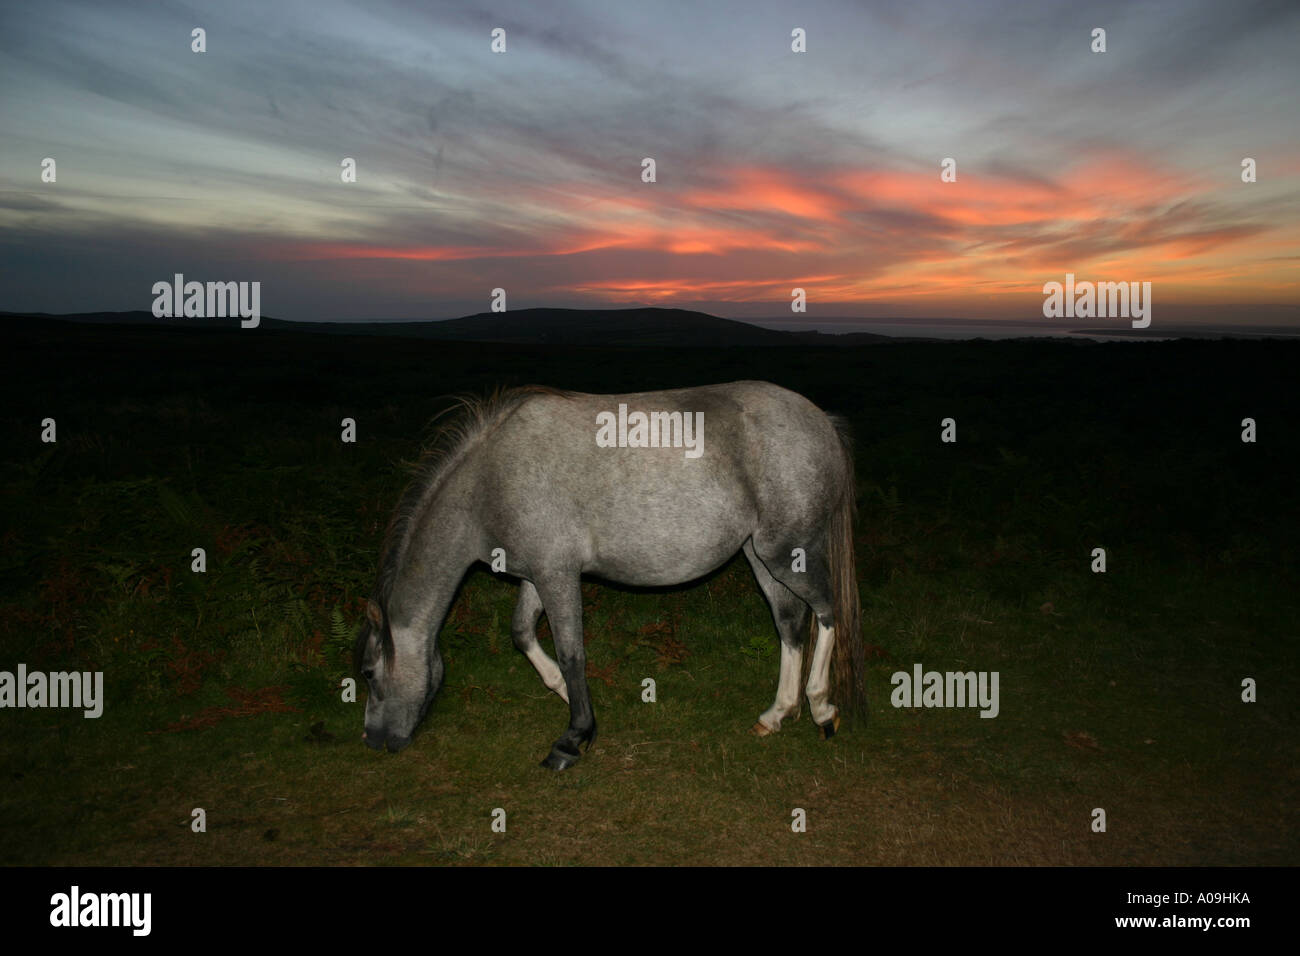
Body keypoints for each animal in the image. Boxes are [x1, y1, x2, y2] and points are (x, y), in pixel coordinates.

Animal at [354, 381, 866, 770]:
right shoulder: (537, 573)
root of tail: (822, 421)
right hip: (761, 555)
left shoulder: (557, 574)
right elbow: (522, 633)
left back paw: (822, 708)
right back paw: (778, 713)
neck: (490, 480)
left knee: (826, 613)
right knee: (790, 624)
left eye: (368, 673)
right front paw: (565, 696)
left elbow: (572, 652)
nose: (373, 741)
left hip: (786, 552)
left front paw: (572, 737)